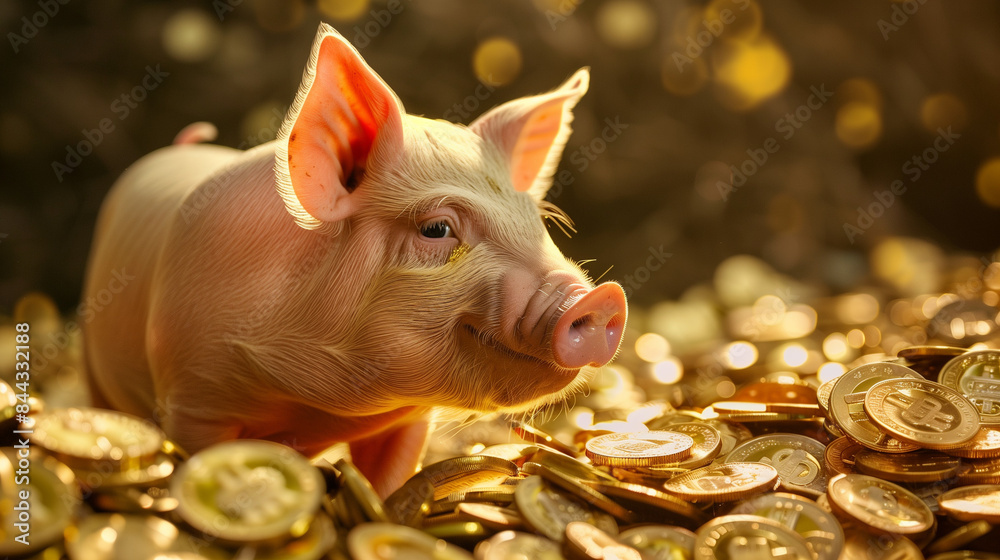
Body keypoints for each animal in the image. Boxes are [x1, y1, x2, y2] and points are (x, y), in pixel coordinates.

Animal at [82, 23, 627, 496]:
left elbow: (390, 479)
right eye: (436, 228)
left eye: (535, 219)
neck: (316, 404)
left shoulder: (409, 420)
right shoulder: (192, 401)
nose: (601, 298)